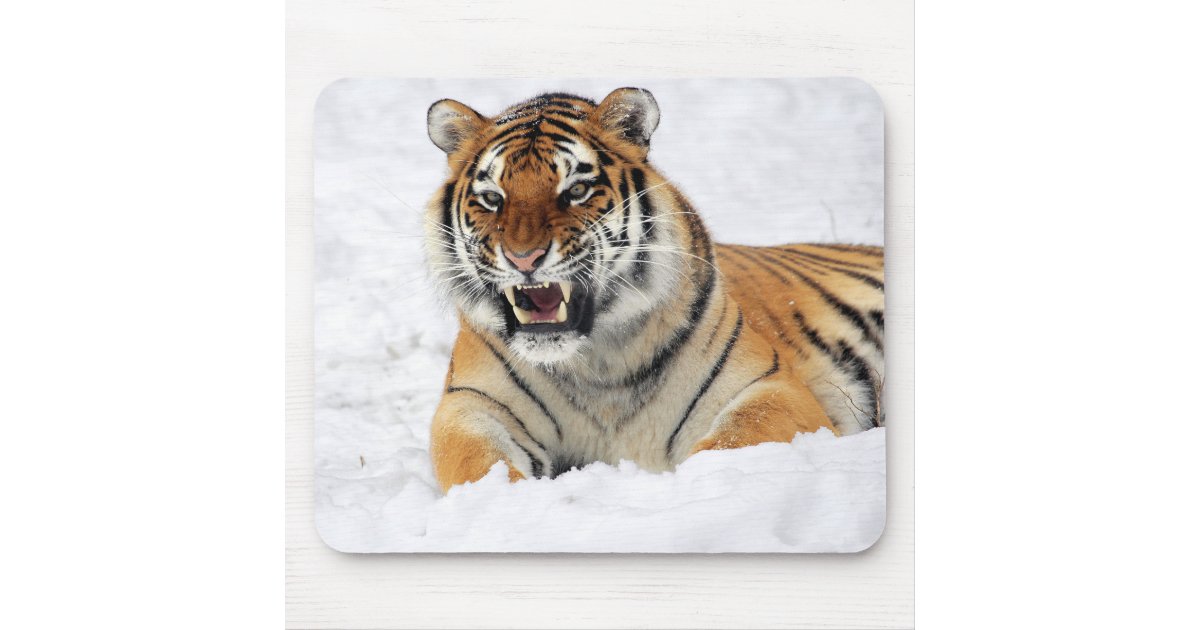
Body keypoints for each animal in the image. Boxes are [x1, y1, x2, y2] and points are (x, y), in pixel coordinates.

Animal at [422, 87, 884, 492]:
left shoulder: (769, 386)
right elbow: (477, 463)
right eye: (492, 198)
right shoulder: (470, 403)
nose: (523, 258)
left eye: (576, 191)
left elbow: (735, 440)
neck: (596, 365)